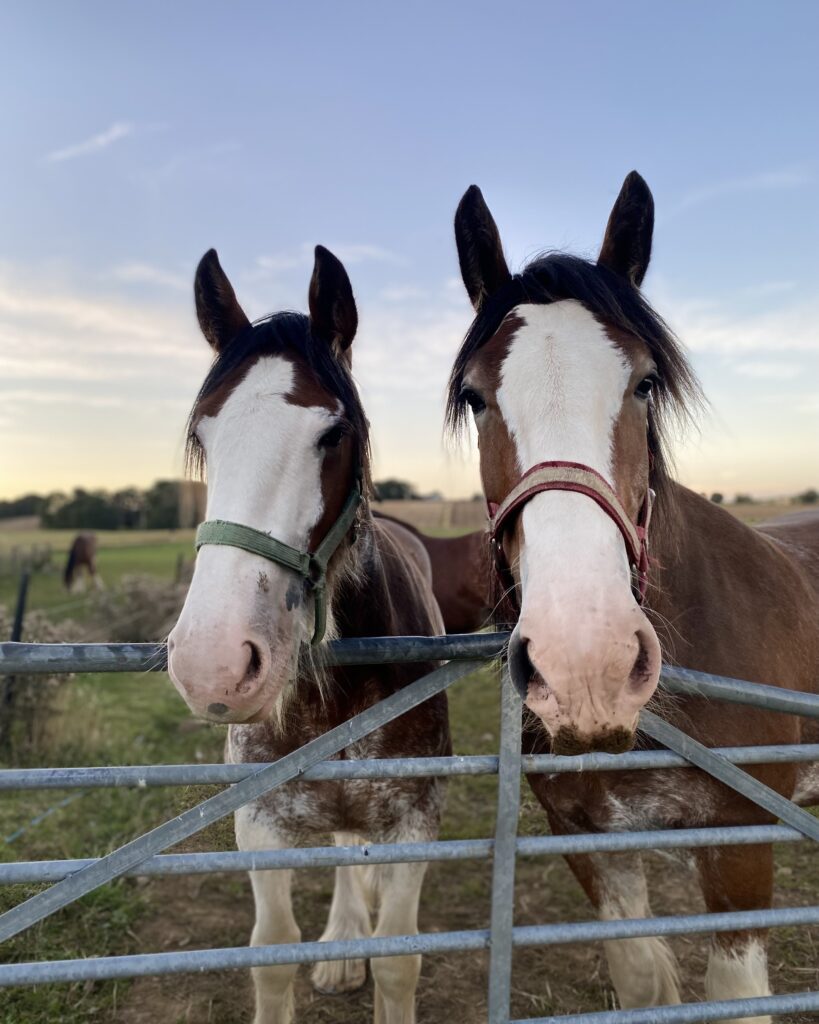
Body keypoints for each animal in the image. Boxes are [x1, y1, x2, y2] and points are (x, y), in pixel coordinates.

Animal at [166, 245, 450, 1024]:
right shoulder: (260, 827)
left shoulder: (412, 826)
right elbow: (272, 953)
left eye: (333, 434)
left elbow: (399, 961)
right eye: (203, 437)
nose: (212, 663)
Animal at [448, 172, 819, 1021]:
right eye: (475, 396)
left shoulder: (740, 849)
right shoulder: (588, 840)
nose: (585, 665)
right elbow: (642, 978)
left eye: (644, 382)